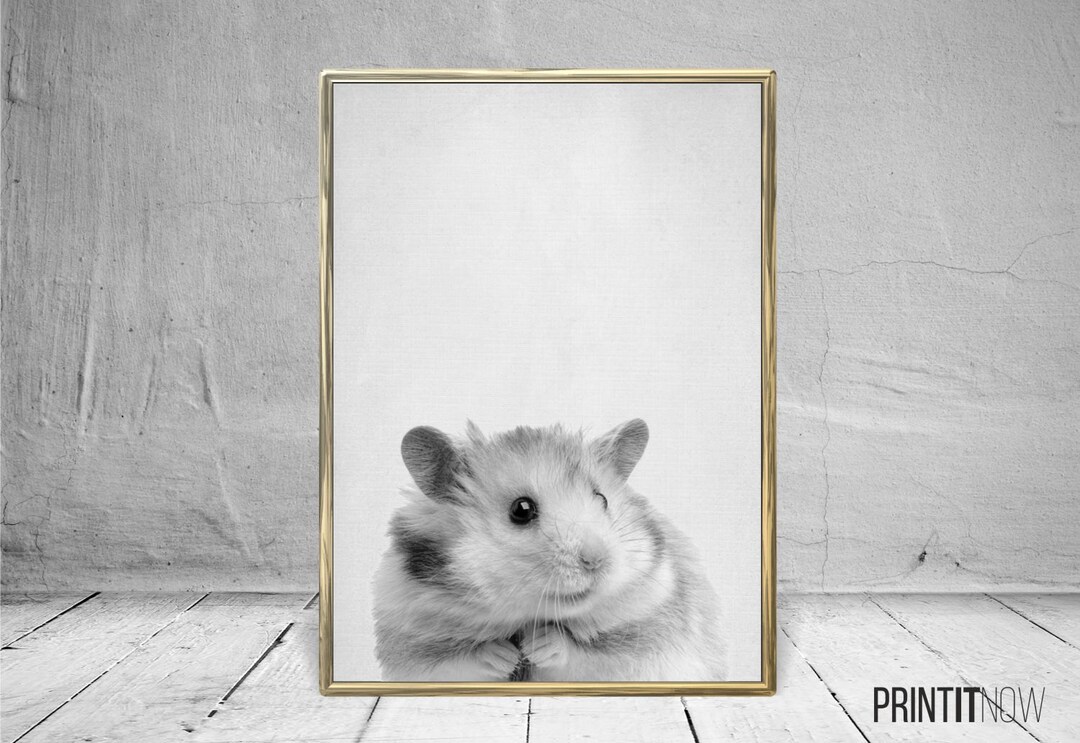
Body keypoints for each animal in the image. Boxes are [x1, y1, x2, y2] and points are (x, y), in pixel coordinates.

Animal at [372, 419, 728, 682]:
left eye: (602, 499)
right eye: (521, 509)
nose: (596, 560)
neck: (531, 615)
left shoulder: (640, 648)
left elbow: (581, 656)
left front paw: (538, 645)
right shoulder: (414, 651)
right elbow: (463, 661)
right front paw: (505, 655)